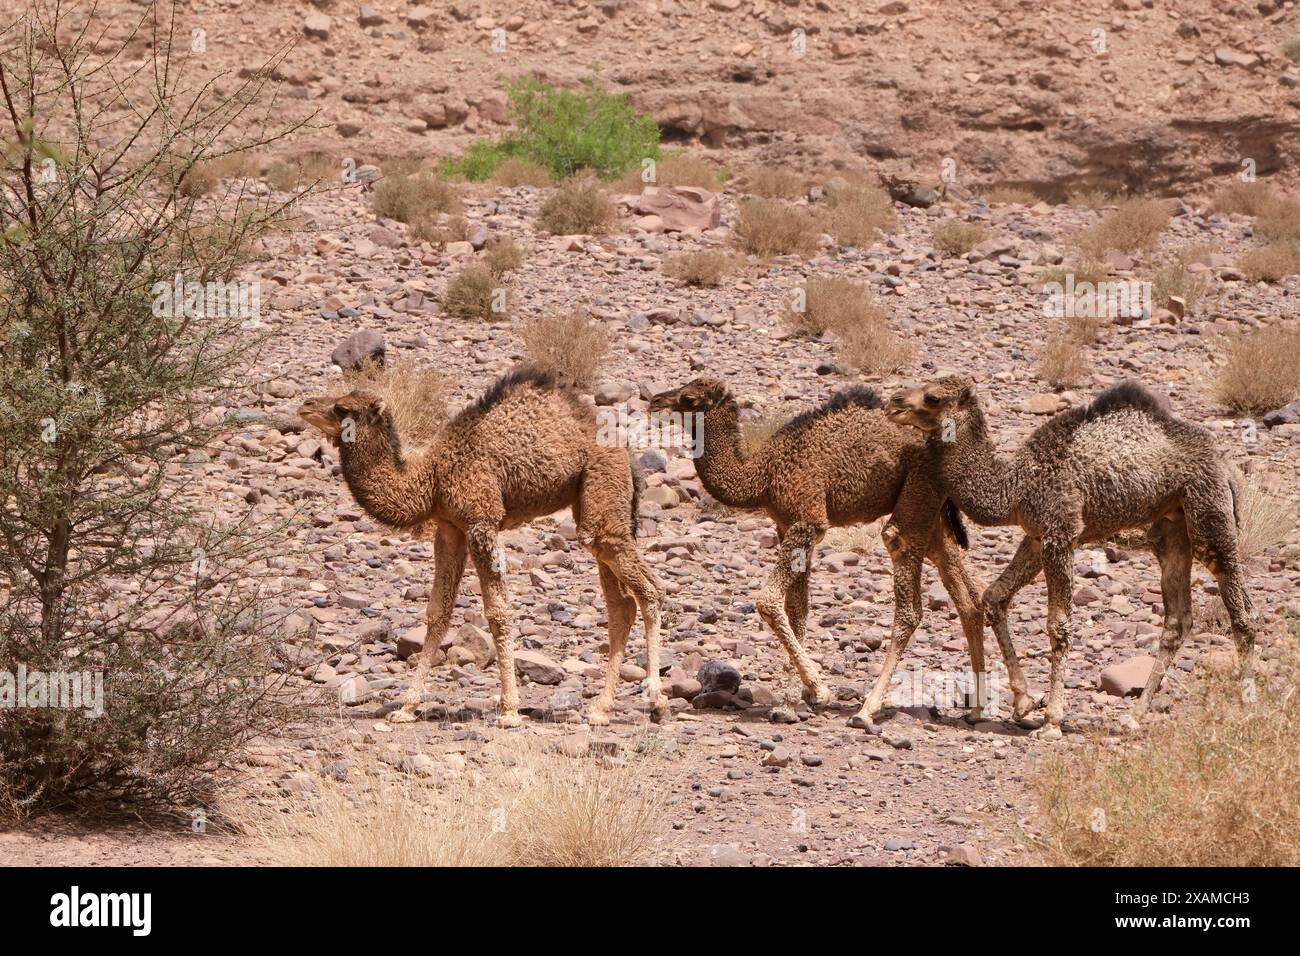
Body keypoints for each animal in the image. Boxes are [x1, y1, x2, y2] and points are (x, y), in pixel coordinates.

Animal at [298, 366, 667, 728]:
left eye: (342, 408)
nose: (305, 404)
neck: (431, 478)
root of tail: (626, 453)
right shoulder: (450, 528)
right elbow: (438, 612)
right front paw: (406, 707)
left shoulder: (481, 520)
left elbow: (498, 613)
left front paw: (510, 711)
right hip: (594, 505)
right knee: (620, 604)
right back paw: (601, 709)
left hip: (601, 488)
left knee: (649, 588)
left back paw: (656, 701)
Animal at [647, 377, 988, 726]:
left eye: (688, 398)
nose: (655, 401)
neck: (762, 476)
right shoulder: (786, 526)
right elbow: (797, 610)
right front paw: (788, 705)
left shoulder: (808, 521)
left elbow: (768, 601)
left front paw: (820, 691)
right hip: (930, 513)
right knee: (968, 598)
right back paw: (979, 708)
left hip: (917, 496)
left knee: (910, 605)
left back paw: (867, 710)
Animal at [885, 376, 1257, 737]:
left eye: (933, 397)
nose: (893, 403)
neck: (1014, 488)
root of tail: (1226, 465)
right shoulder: (1037, 536)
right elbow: (994, 596)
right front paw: (1023, 703)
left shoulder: (1060, 533)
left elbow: (1058, 626)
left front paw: (1051, 721)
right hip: (1172, 529)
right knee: (1178, 620)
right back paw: (1133, 717)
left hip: (1209, 512)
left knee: (1243, 613)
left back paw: (1246, 710)